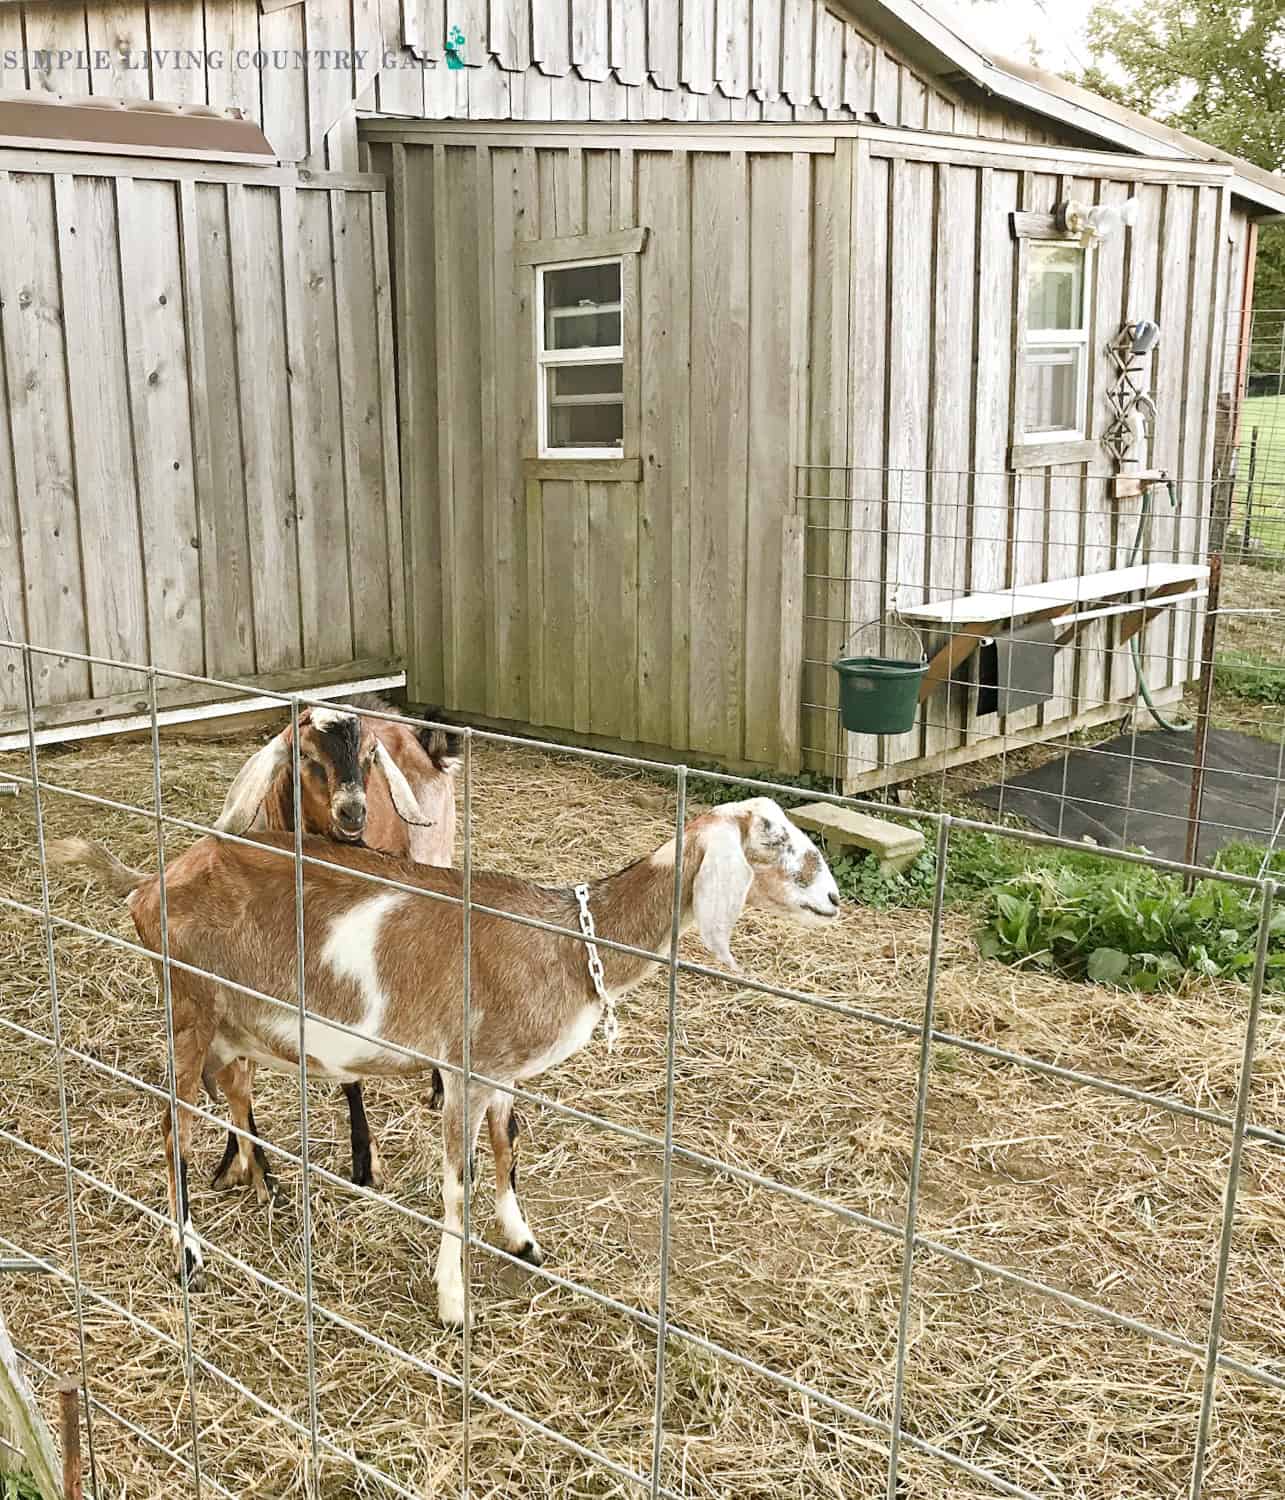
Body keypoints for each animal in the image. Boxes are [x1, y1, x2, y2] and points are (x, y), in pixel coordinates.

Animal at [50, 797, 840, 1325]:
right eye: (774, 840)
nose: (833, 898)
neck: (563, 941)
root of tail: (151, 882)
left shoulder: (500, 1070)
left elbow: (506, 1151)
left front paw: (523, 1240)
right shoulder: (463, 1069)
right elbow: (457, 1182)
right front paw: (453, 1301)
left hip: (231, 1020)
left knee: (231, 1091)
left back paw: (260, 1182)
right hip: (188, 1008)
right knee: (172, 1126)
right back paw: (188, 1251)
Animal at [211, 698, 459, 1200]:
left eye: (369, 757)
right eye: (304, 754)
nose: (353, 814)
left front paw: (364, 1161)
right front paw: (242, 1159)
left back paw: (441, 1085)